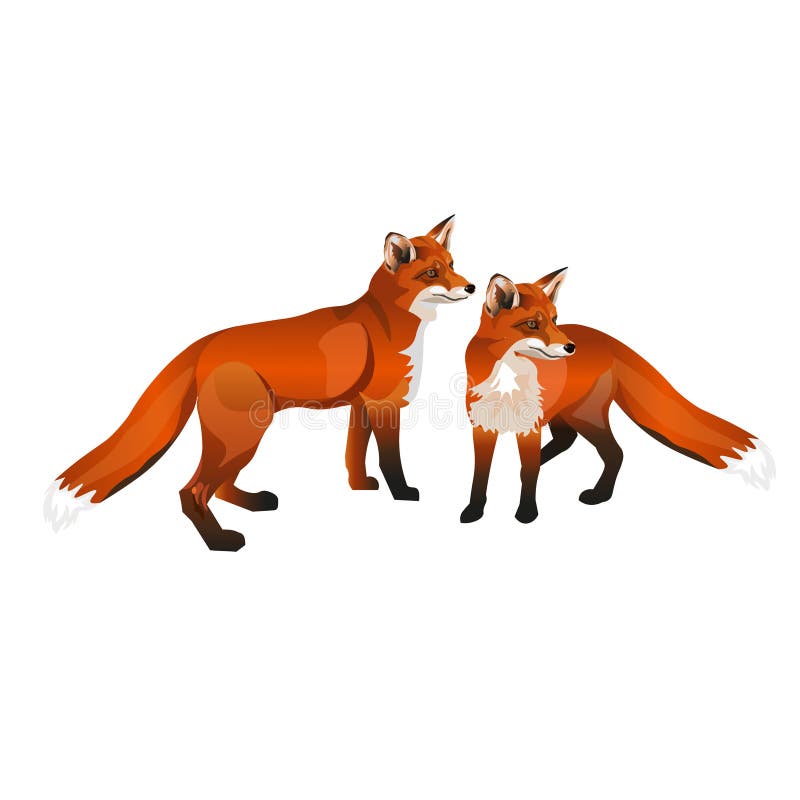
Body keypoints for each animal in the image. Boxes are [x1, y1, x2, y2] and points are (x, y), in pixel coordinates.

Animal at [45, 215, 475, 550]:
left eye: (454, 264)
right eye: (432, 273)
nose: (471, 287)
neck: (389, 322)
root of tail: (204, 342)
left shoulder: (361, 404)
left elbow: (354, 453)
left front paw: (360, 487)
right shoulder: (385, 403)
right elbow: (391, 461)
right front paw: (402, 494)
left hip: (242, 435)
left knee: (217, 487)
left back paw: (253, 503)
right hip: (243, 433)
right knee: (192, 491)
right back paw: (221, 542)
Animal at [460, 269, 774, 524]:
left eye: (555, 319)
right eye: (532, 325)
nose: (570, 347)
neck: (506, 383)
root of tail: (606, 338)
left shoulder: (530, 427)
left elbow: (528, 473)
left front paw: (526, 513)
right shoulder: (482, 426)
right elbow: (480, 474)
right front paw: (474, 511)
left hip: (584, 416)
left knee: (614, 452)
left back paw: (599, 494)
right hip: (565, 414)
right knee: (566, 440)